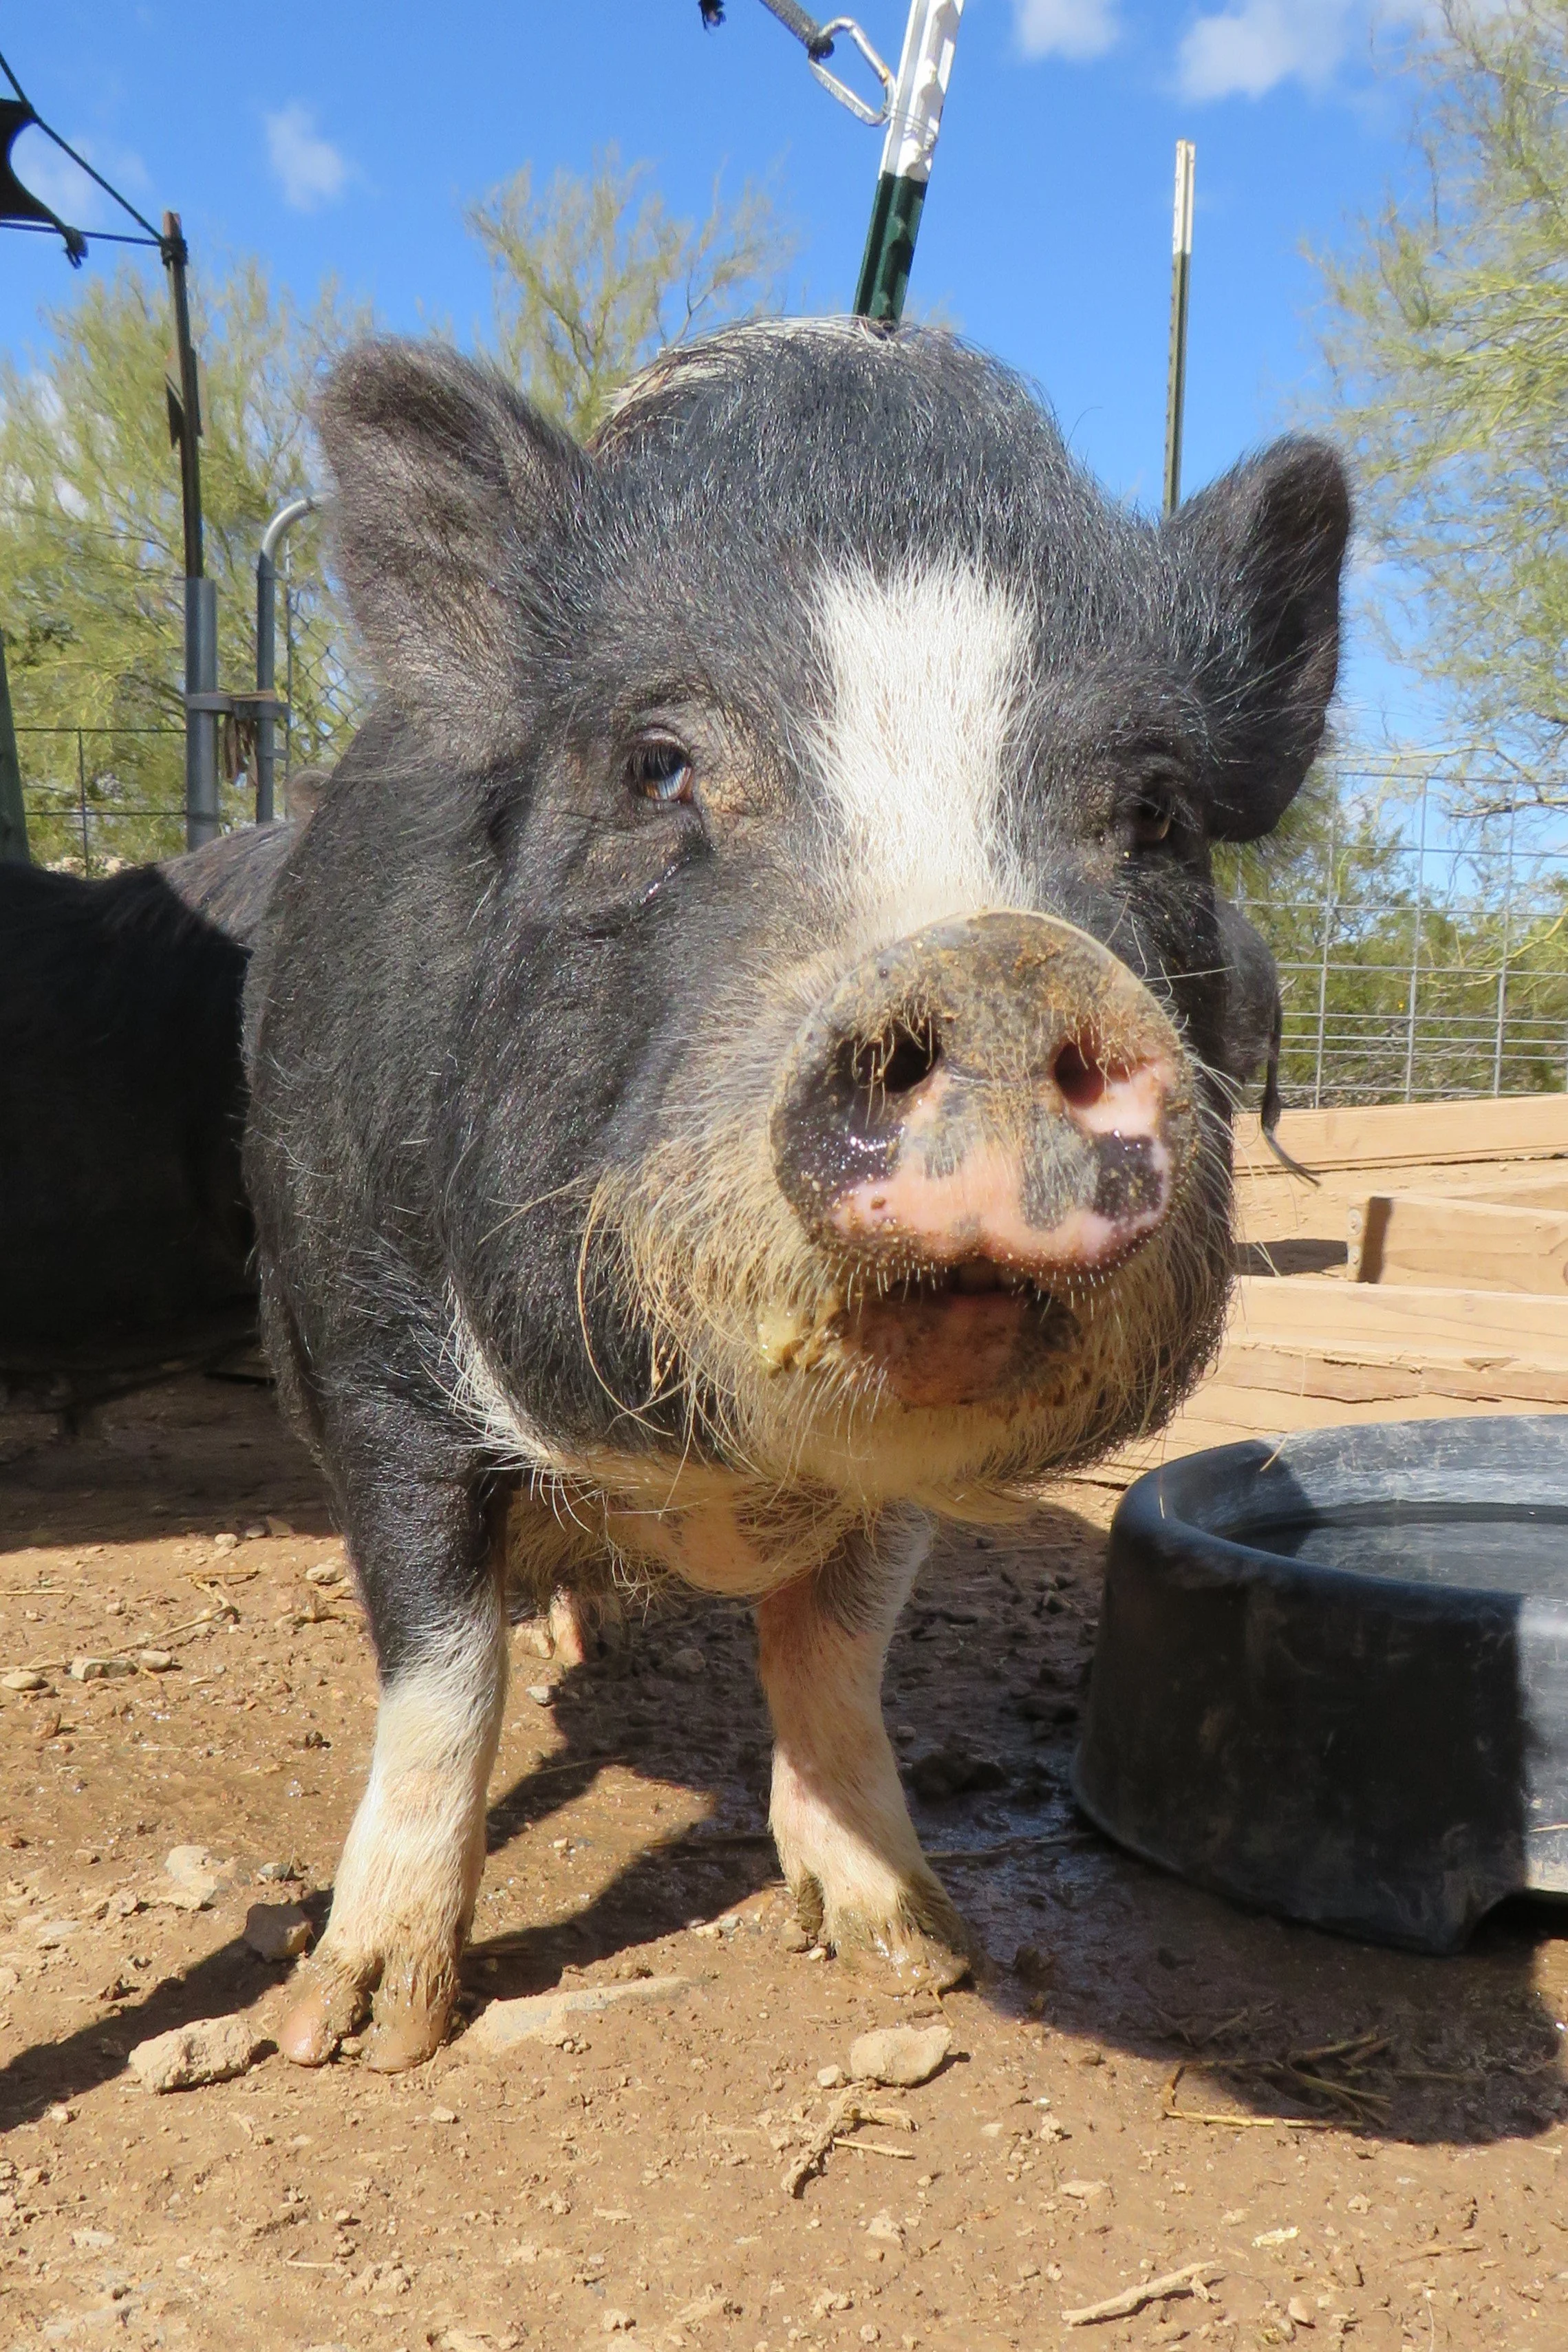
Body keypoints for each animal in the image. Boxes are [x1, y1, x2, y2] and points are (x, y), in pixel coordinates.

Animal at [243, 321, 1349, 2071]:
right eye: (656, 764)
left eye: (1158, 810)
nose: (994, 964)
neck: (709, 1470)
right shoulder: (371, 1368)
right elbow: (437, 1675)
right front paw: (357, 2027)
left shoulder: (896, 1482)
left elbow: (829, 1652)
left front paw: (912, 1950)